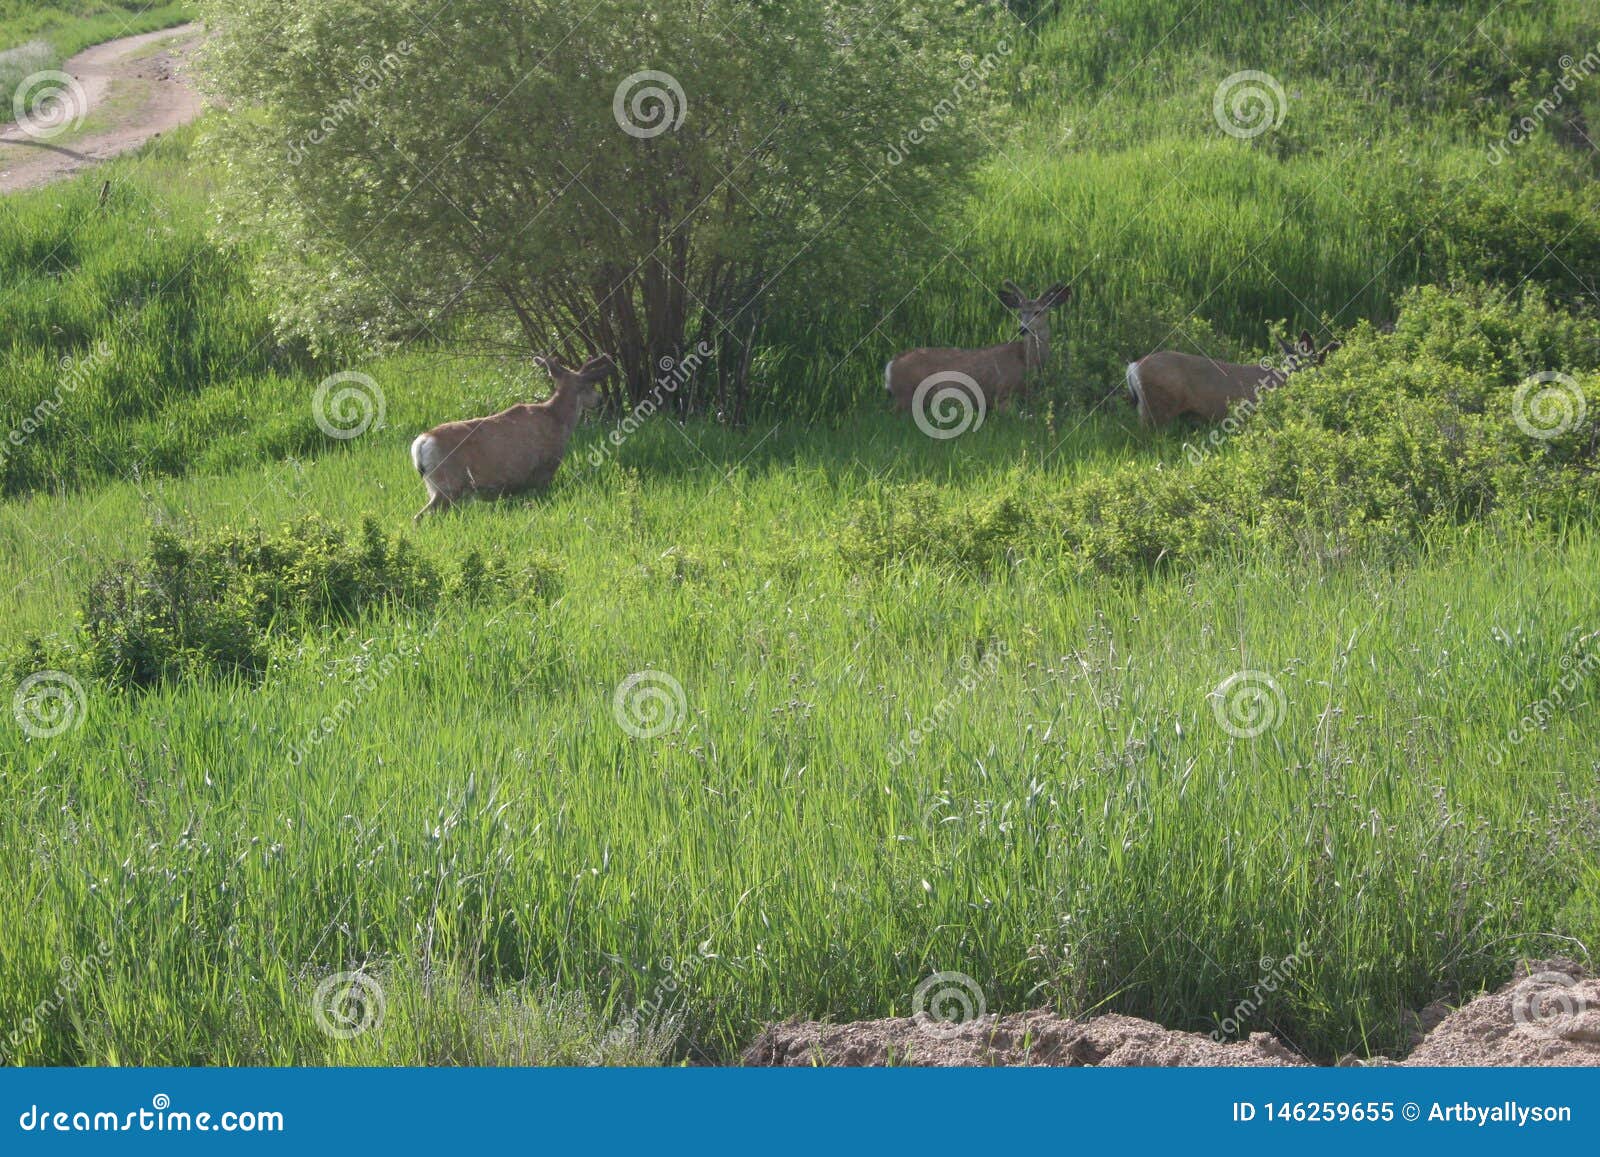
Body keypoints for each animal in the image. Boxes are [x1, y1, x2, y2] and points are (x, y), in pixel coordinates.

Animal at [410, 353, 615, 522]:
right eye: (590, 386)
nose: (599, 400)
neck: (558, 420)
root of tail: (422, 442)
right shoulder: (544, 471)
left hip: (436, 486)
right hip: (447, 484)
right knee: (419, 516)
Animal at [885, 280, 1072, 415]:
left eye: (1038, 311)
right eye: (1020, 313)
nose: (1022, 329)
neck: (1026, 360)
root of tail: (891, 364)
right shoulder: (1003, 393)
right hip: (907, 394)